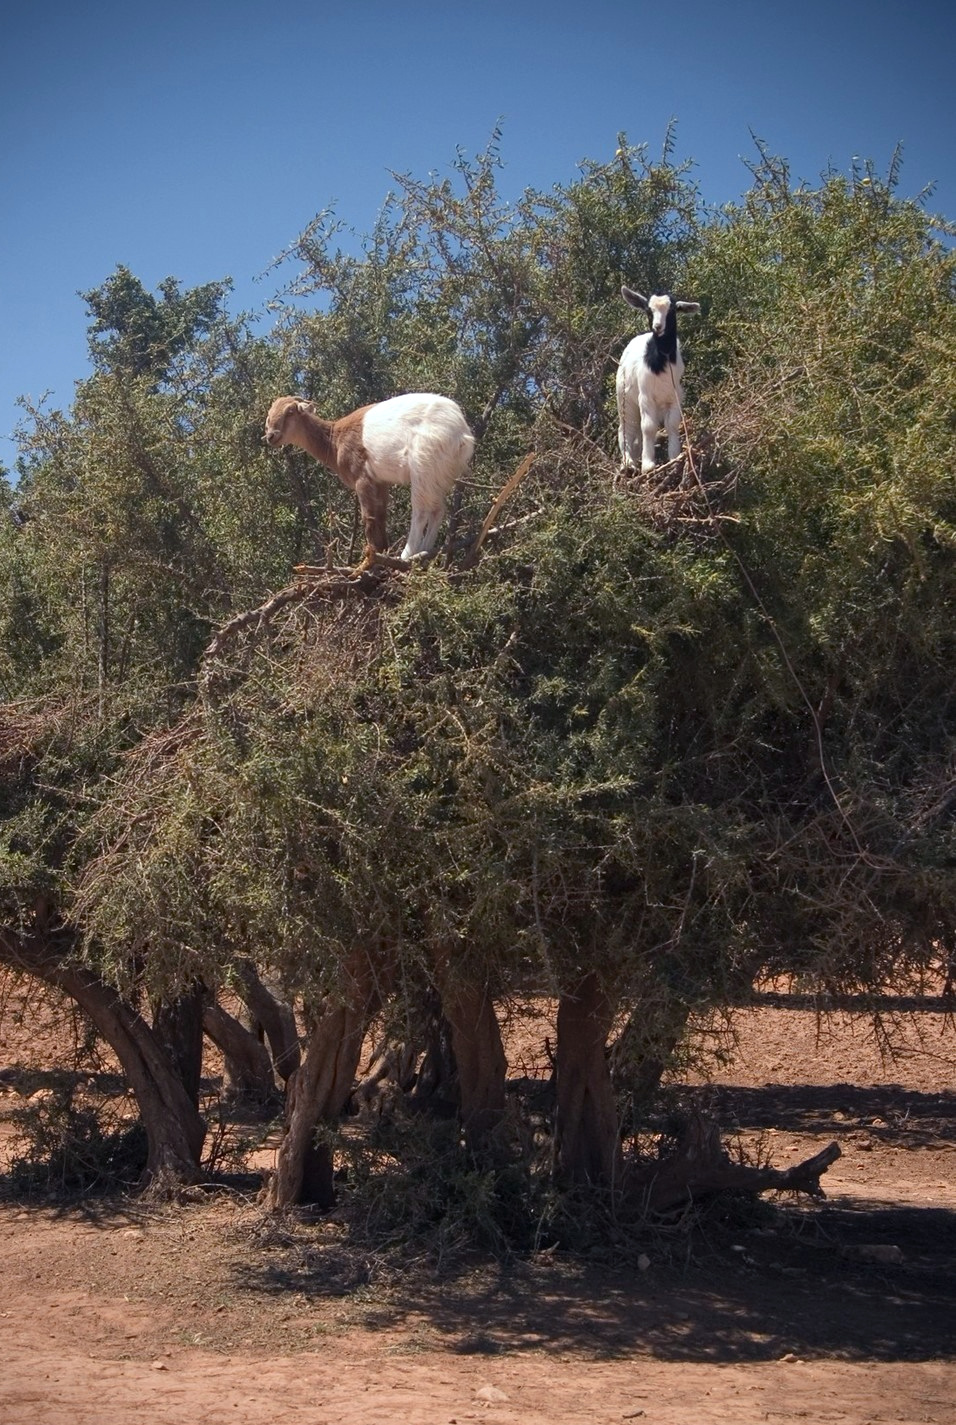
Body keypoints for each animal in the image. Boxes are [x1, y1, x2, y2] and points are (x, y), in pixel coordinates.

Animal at [264, 392, 475, 561]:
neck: (335, 440)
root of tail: (461, 433)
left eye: (290, 412)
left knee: (422, 511)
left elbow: (369, 518)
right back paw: (424, 550)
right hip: (439, 474)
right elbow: (381, 516)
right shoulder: (380, 481)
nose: (271, 436)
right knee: (438, 510)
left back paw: (406, 555)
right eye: (269, 415)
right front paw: (383, 551)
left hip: (423, 466)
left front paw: (373, 557)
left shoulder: (362, 478)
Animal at [616, 287, 700, 476]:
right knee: (626, 428)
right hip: (625, 399)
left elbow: (672, 424)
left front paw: (675, 458)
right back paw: (628, 463)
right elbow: (648, 427)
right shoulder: (645, 396)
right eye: (649, 311)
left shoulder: (675, 396)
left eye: (672, 309)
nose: (658, 327)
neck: (662, 362)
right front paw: (648, 465)